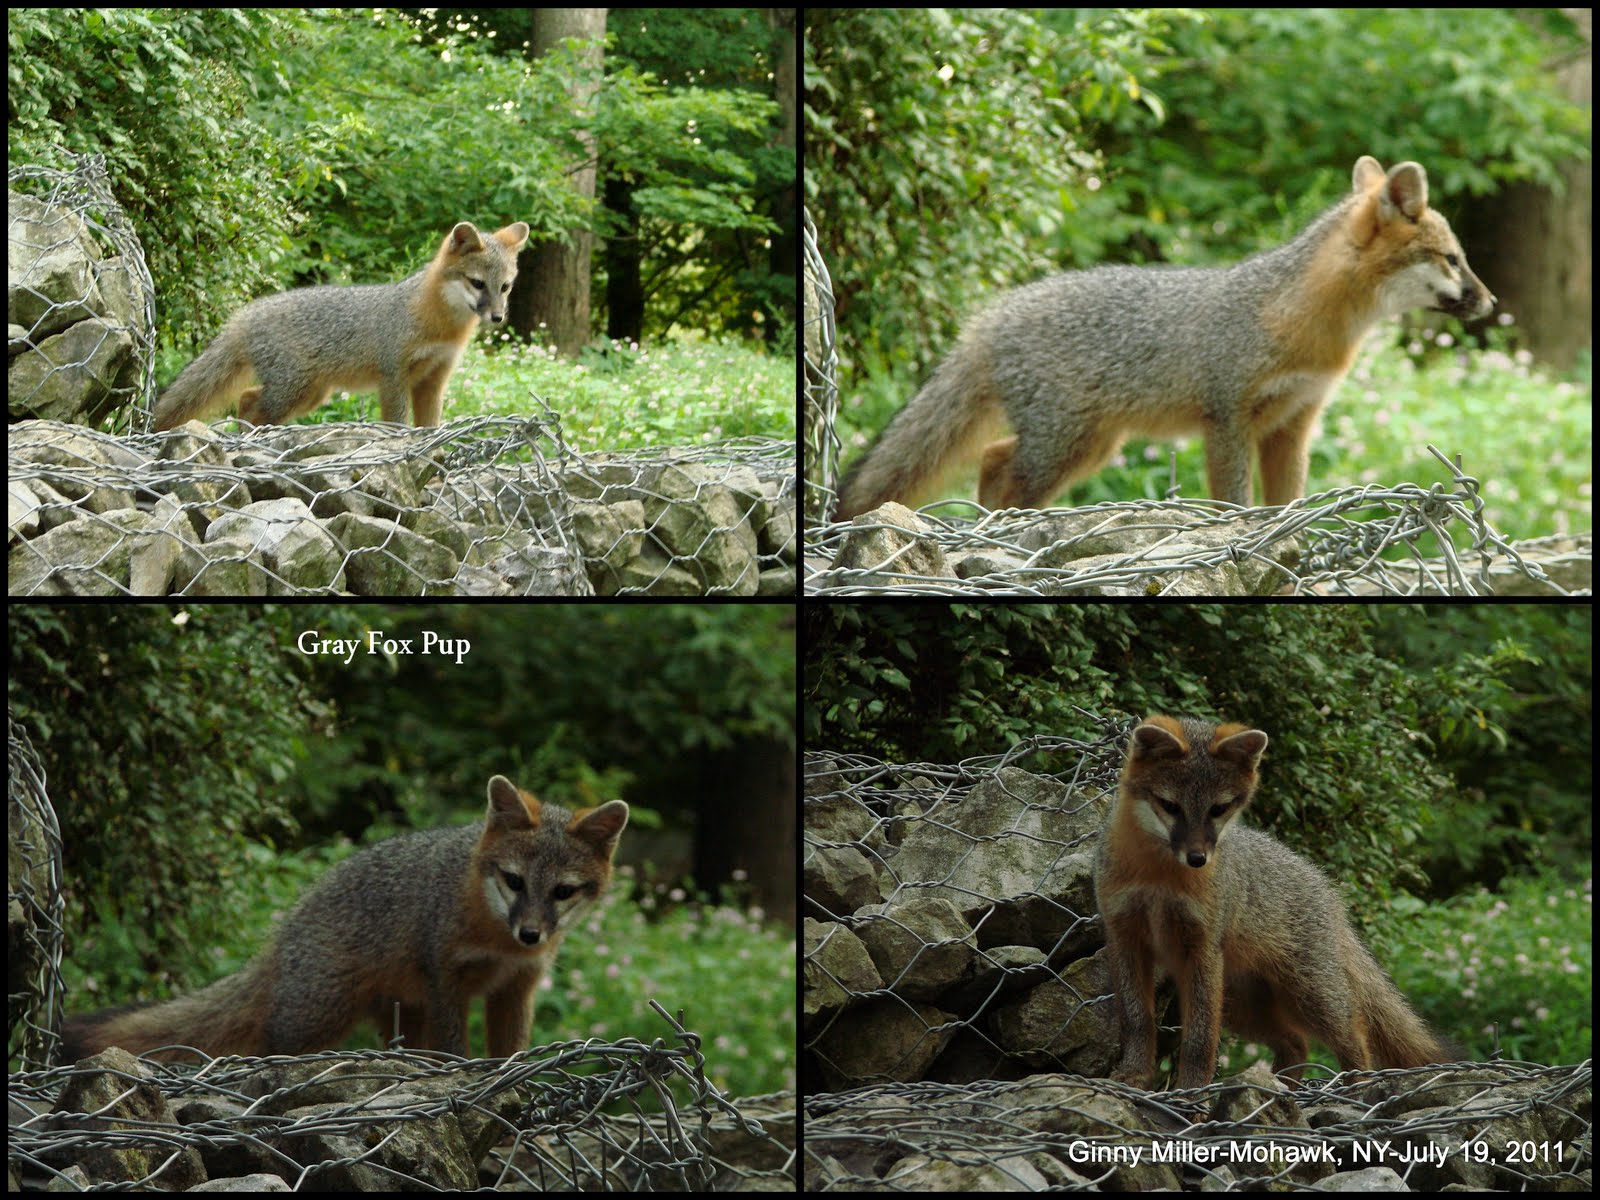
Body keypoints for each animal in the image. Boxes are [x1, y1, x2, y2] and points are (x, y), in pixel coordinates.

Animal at [62, 775, 628, 1061]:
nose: (530, 933)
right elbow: (456, 1049)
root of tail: (283, 928)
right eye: (513, 881)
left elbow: (507, 1052)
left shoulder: (516, 986)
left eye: (562, 892)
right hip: (319, 1017)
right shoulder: (446, 979)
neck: (498, 941)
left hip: (398, 1013)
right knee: (267, 1046)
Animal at [152, 220, 531, 432]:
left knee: (246, 399)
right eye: (477, 284)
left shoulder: (434, 379)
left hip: (311, 394)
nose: (498, 317)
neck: (439, 325)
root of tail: (245, 314)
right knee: (251, 406)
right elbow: (397, 423)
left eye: (505, 287)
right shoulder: (393, 375)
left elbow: (430, 429)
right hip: (292, 390)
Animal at [836, 156, 1494, 518]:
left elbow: (1283, 505)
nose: (1491, 303)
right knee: (1003, 473)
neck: (1305, 323)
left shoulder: (1293, 423)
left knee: (995, 458)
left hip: (1090, 445)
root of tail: (988, 317)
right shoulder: (1227, 418)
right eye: (1454, 260)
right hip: (1061, 445)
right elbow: (1236, 505)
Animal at [1093, 715, 1456, 1090]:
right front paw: (1134, 1074)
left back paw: (1355, 1084)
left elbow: (1199, 1040)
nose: (1197, 859)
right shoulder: (1125, 938)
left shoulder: (1202, 949)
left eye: (1218, 809)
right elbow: (1137, 1020)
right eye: (1170, 806)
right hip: (1242, 1006)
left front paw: (1192, 1090)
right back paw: (1282, 1087)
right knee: (1296, 1043)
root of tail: (1326, 887)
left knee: (1354, 1036)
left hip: (1310, 996)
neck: (1158, 878)